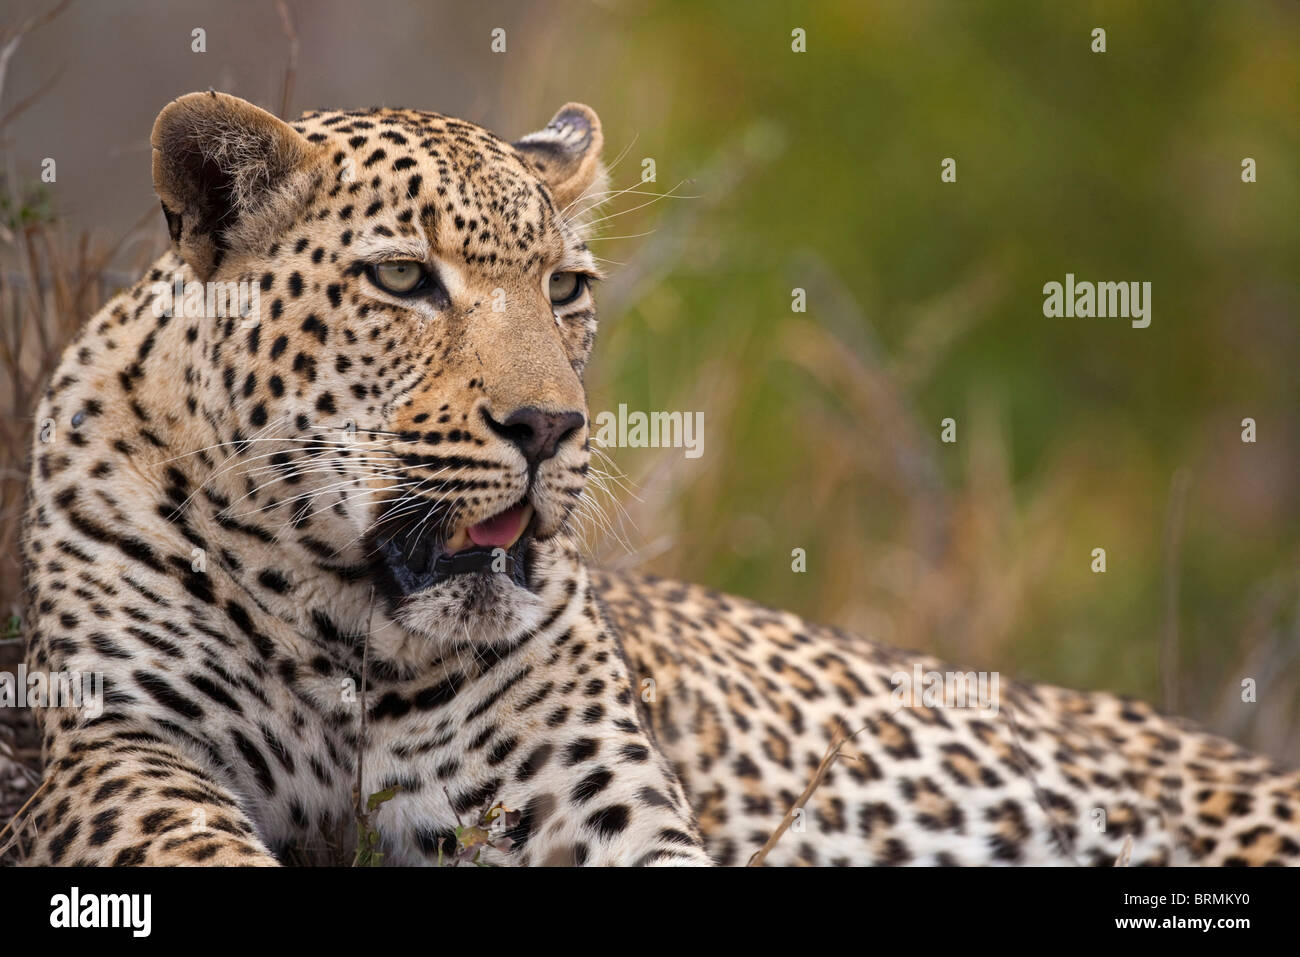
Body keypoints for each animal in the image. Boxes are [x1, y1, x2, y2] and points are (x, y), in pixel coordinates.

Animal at [13, 91, 1300, 867]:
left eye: (566, 290)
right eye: (402, 279)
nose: (547, 426)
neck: (338, 619)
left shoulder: (588, 808)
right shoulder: (114, 748)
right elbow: (189, 843)